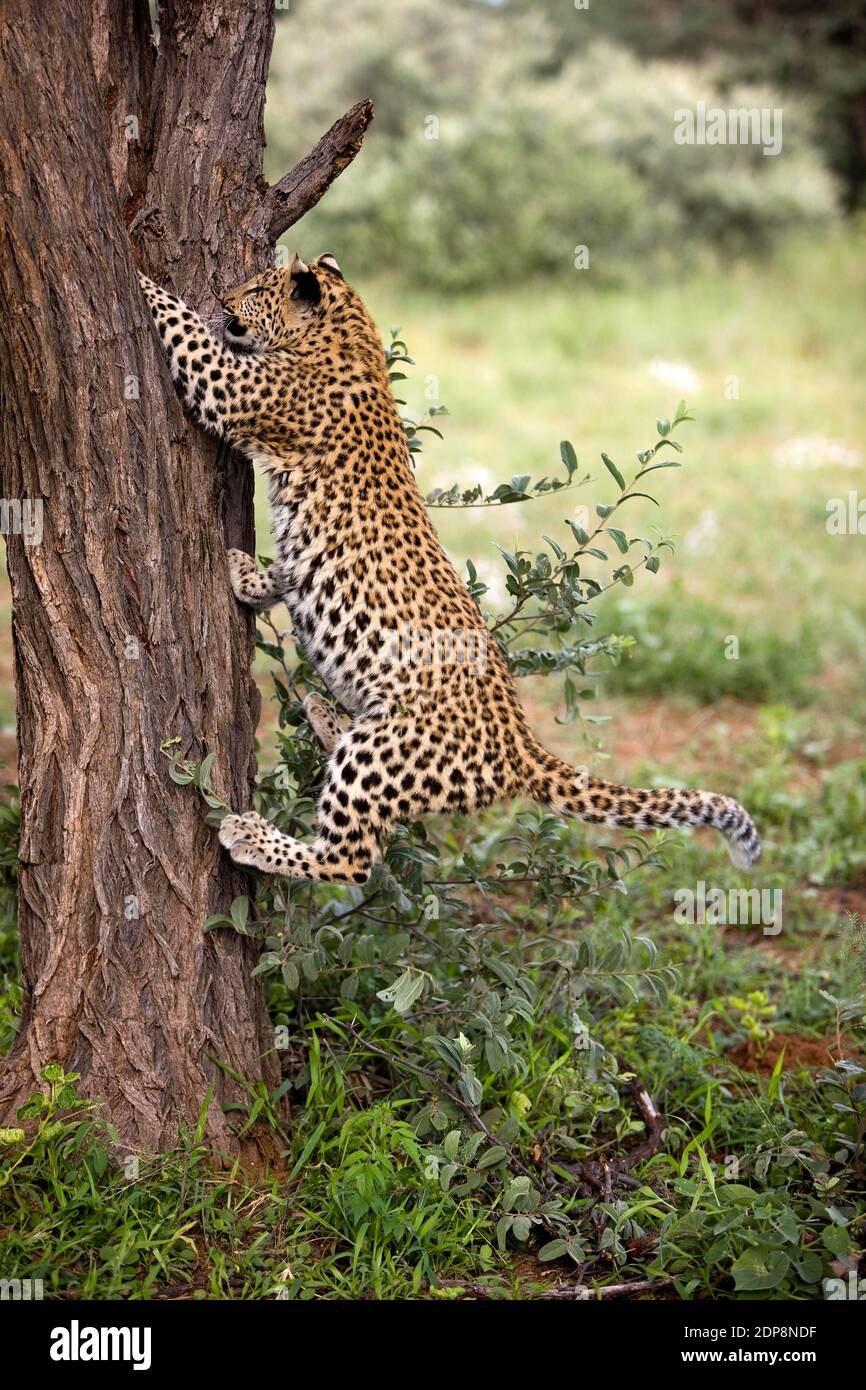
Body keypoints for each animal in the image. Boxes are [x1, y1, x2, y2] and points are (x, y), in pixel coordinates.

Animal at [137, 252, 761, 885]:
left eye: (257, 287)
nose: (222, 296)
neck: (349, 330)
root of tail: (520, 747)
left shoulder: (237, 388)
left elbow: (188, 334)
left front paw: (142, 280)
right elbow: (285, 573)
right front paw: (246, 575)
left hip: (385, 756)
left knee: (351, 859)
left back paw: (253, 835)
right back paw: (324, 714)